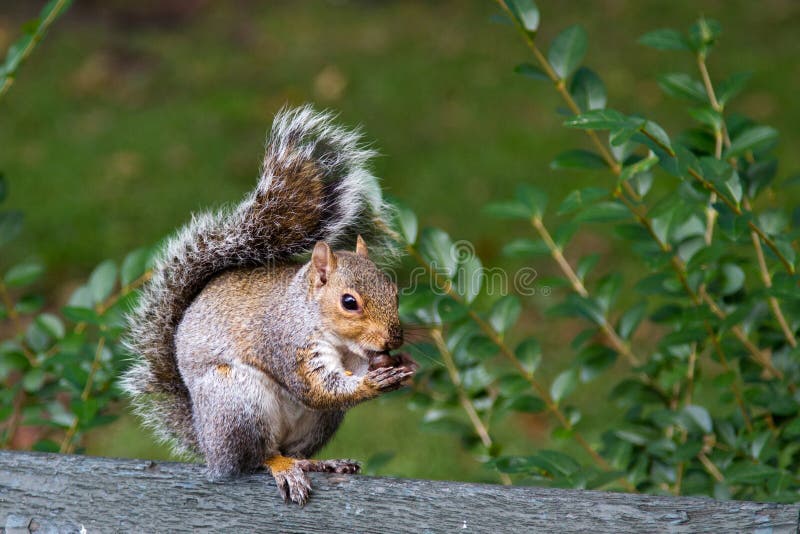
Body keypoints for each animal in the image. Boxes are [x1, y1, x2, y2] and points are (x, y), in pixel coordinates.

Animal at [121, 106, 418, 505]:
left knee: (294, 450)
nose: (392, 340)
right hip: (237, 403)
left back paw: (320, 463)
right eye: (349, 302)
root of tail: (207, 442)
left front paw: (401, 365)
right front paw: (373, 382)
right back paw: (280, 467)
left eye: (395, 291)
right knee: (255, 457)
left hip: (320, 422)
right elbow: (315, 387)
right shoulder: (286, 342)